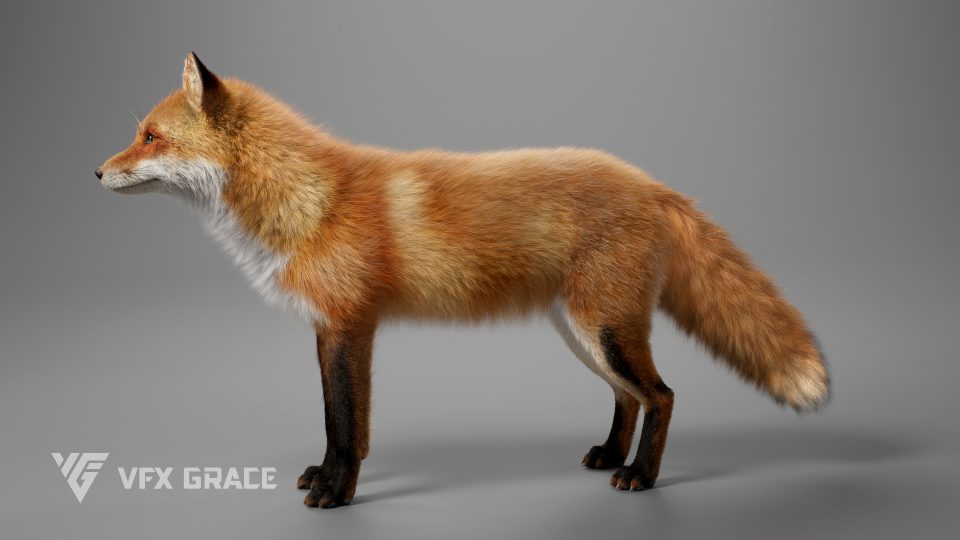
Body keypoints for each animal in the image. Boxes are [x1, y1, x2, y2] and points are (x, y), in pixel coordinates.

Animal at [97, 53, 830, 508]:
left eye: (150, 137)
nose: (96, 173)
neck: (307, 200)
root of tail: (652, 182)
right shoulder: (329, 328)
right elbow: (341, 421)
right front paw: (329, 477)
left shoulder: (350, 327)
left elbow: (347, 423)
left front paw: (338, 492)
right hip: (585, 335)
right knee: (631, 398)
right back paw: (609, 455)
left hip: (604, 330)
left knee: (664, 395)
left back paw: (642, 476)